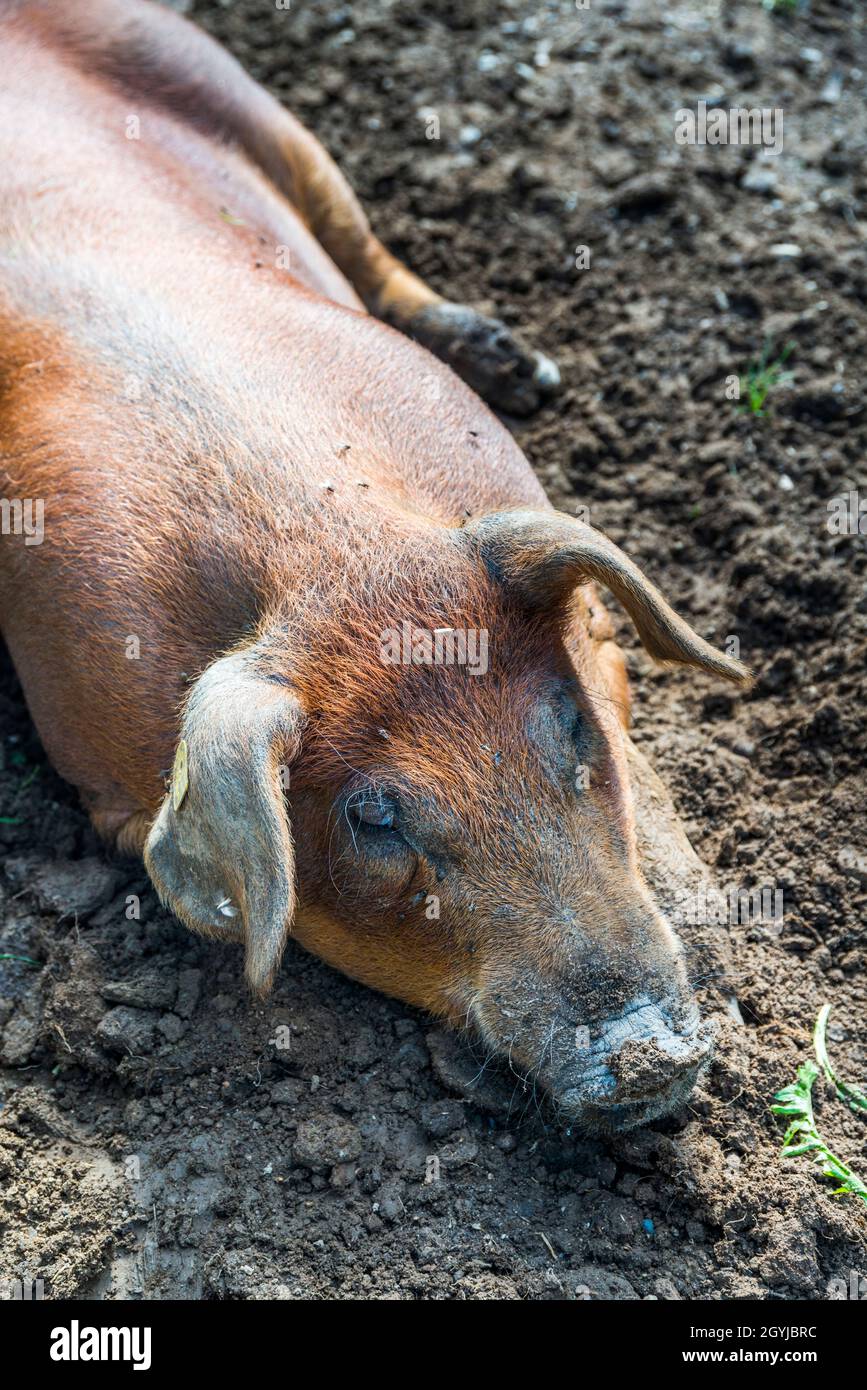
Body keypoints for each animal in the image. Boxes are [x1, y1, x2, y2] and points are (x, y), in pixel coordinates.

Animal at [0, 0, 749, 1131]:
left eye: (565, 725)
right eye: (374, 816)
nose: (648, 1057)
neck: (325, 543)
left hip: (229, 88)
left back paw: (524, 365)